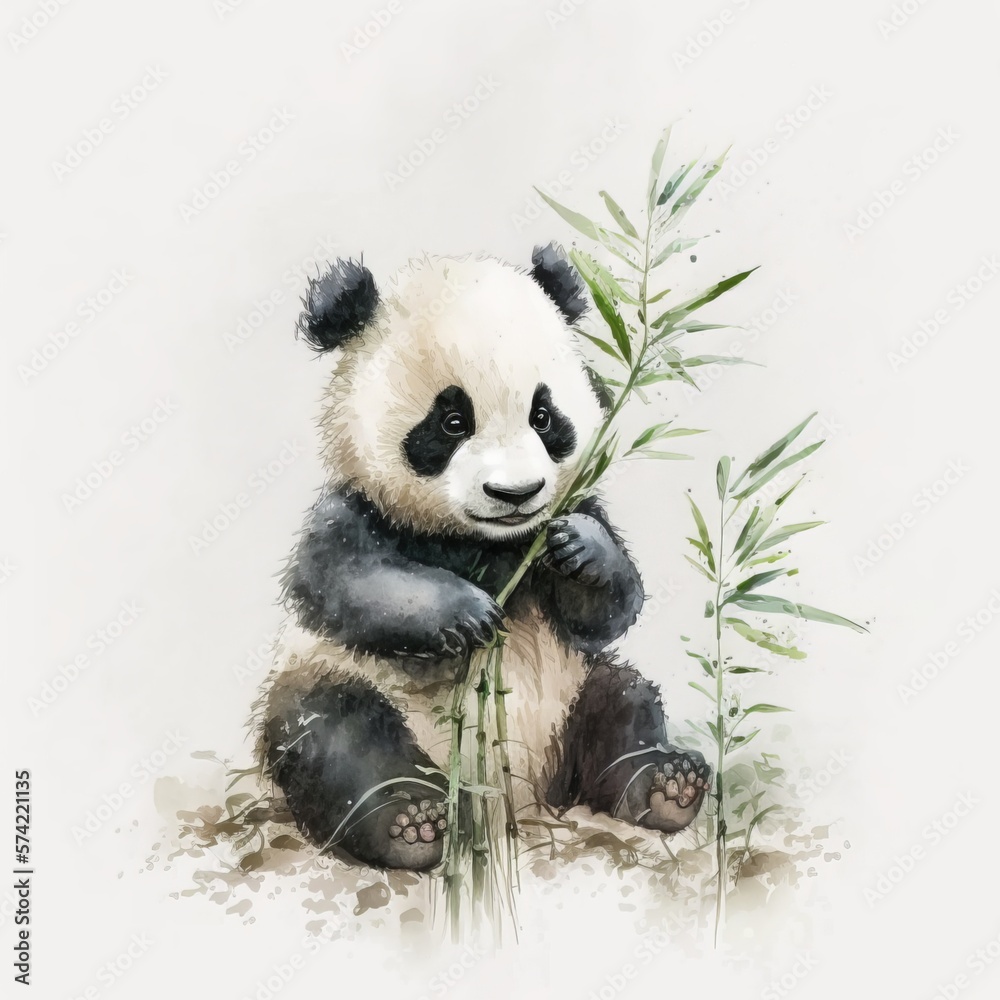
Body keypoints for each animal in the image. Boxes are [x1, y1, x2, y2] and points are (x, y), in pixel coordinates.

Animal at [252, 244, 710, 871]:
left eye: (544, 416)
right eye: (451, 422)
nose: (515, 493)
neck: (486, 543)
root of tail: (512, 795)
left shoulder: (569, 515)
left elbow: (612, 607)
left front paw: (581, 549)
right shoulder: (353, 513)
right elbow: (345, 582)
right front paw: (467, 614)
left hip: (572, 693)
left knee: (622, 700)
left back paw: (667, 783)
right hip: (337, 683)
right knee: (337, 736)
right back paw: (409, 823)